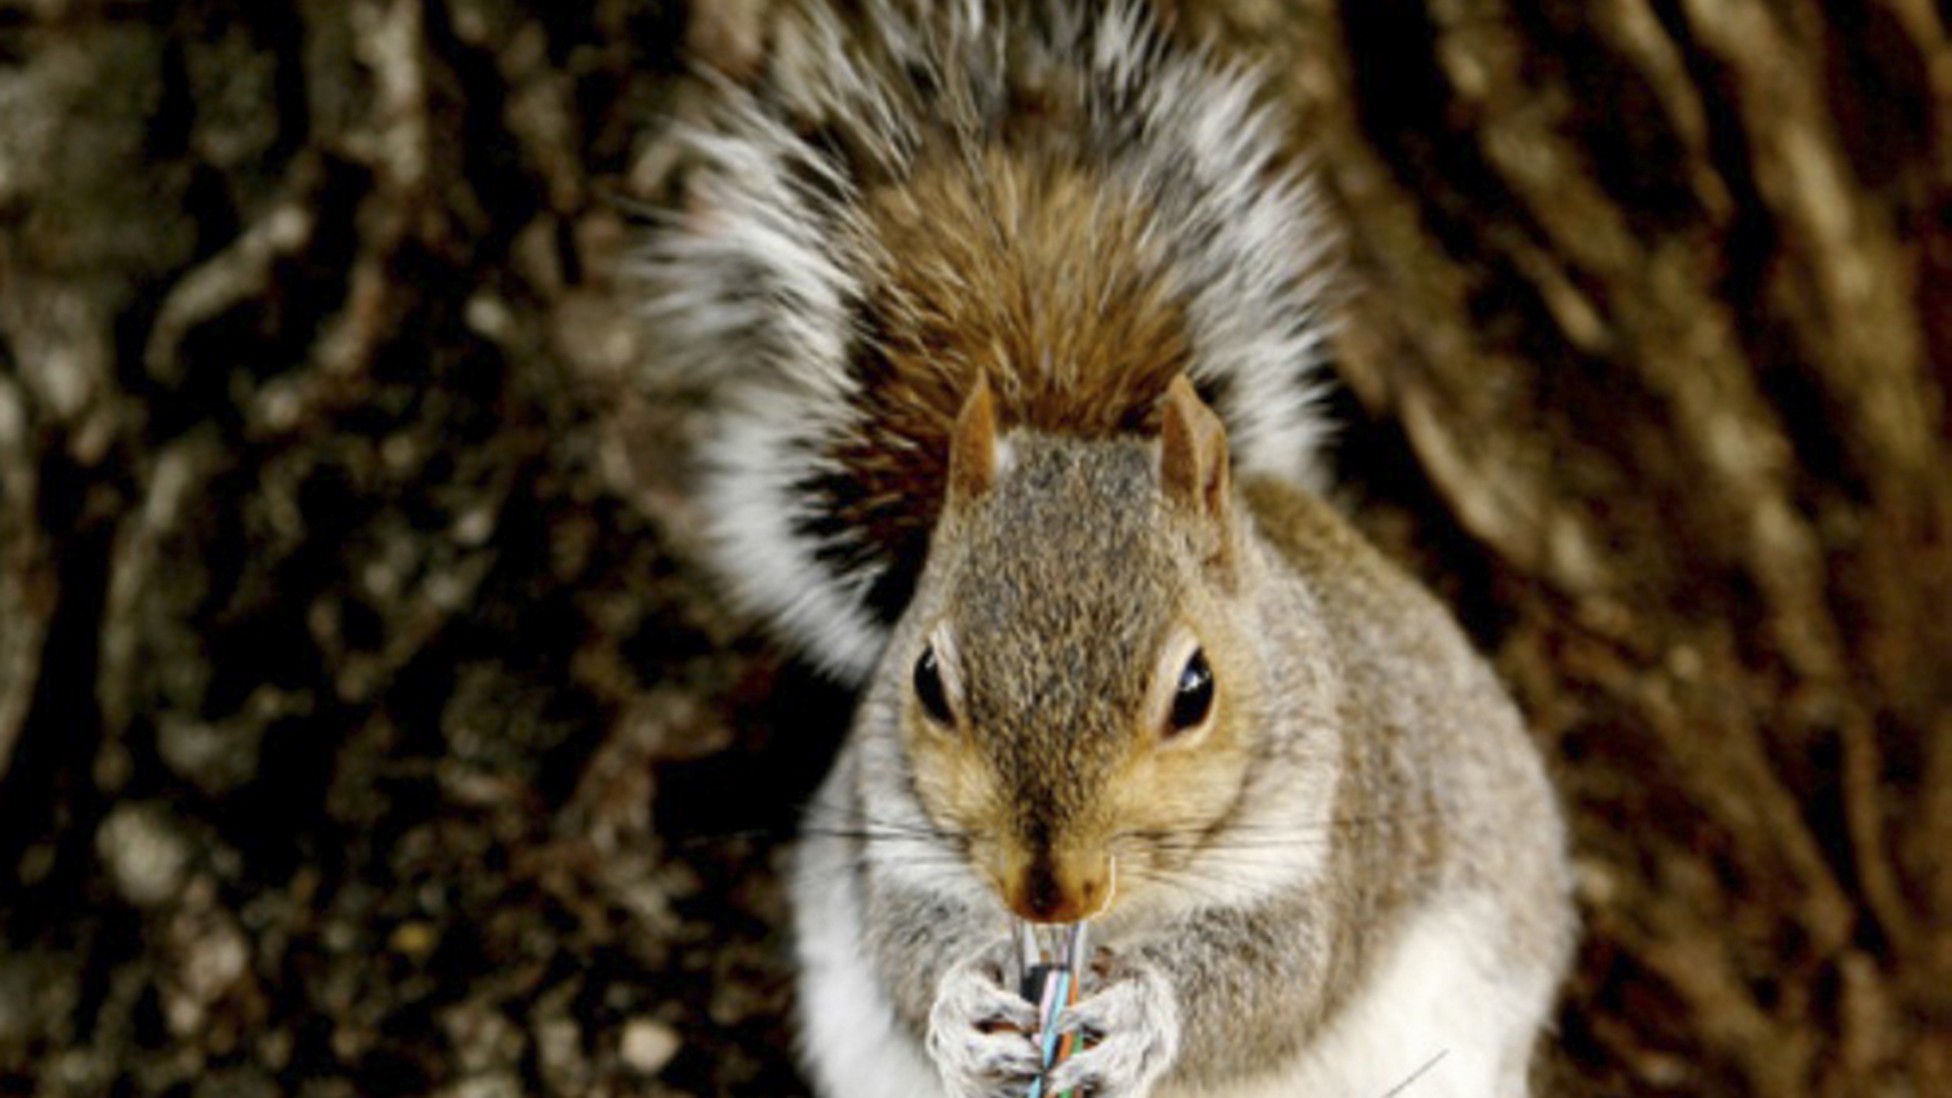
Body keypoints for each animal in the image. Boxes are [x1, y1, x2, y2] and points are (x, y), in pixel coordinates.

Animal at [639, 2, 1577, 1096]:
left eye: (1195, 691)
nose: (1049, 896)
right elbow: (906, 949)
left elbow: (1270, 982)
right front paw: (960, 1008)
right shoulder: (891, 838)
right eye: (926, 681)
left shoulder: (1332, 848)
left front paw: (1140, 1015)